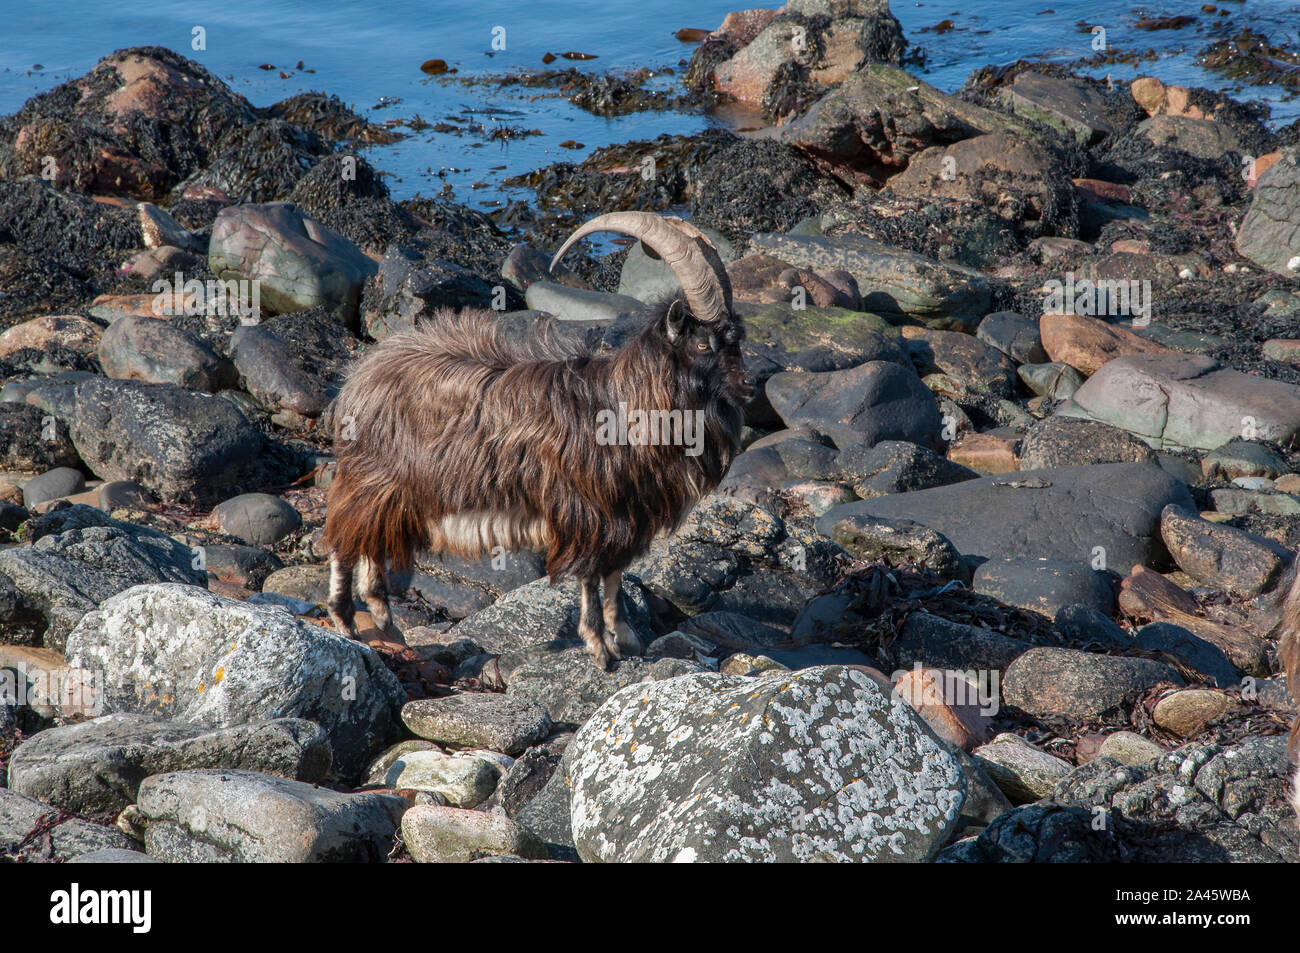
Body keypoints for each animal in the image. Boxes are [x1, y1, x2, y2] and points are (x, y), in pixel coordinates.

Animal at [322, 212, 752, 668]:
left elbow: (615, 576)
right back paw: (346, 621)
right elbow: (590, 578)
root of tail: (359, 377)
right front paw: (599, 648)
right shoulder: (586, 513)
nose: (748, 385)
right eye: (702, 343)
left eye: (736, 340)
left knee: (372, 546)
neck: (622, 405)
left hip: (395, 496)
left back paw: (388, 625)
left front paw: (626, 640)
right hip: (370, 479)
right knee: (343, 541)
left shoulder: (625, 519)